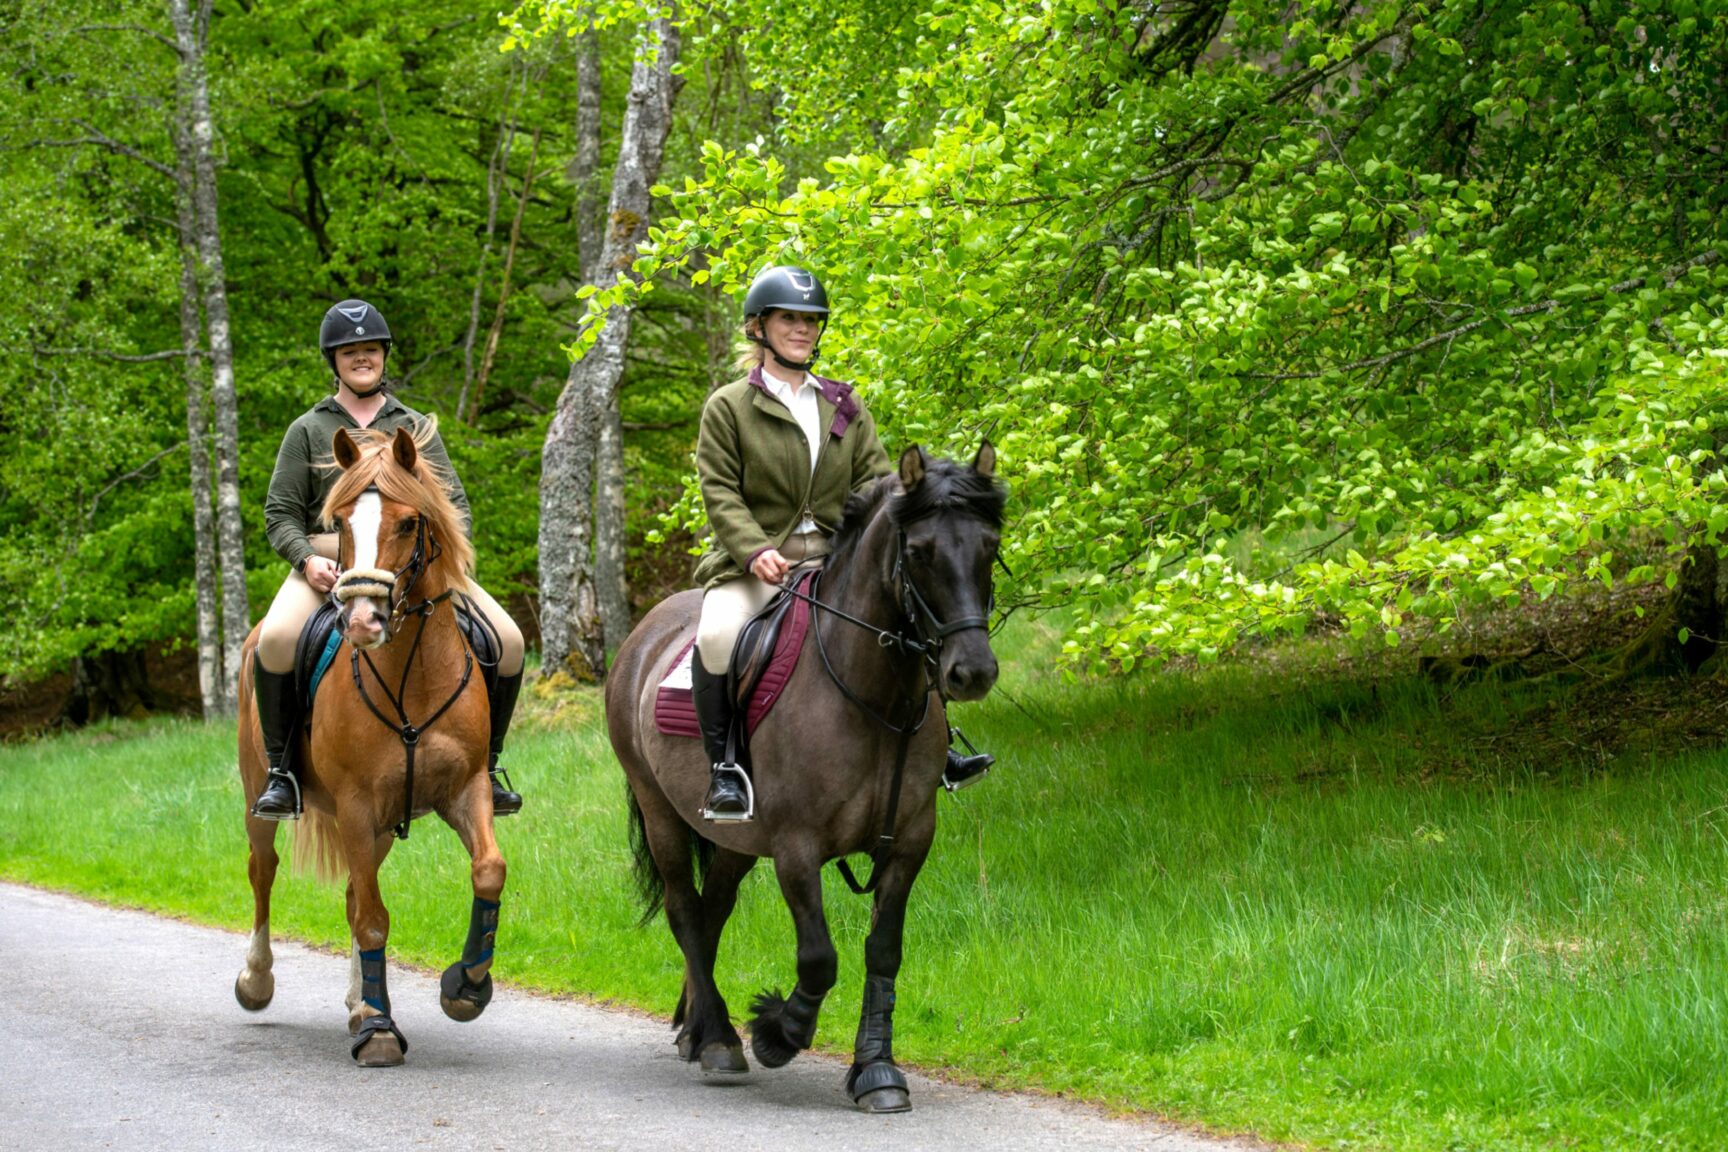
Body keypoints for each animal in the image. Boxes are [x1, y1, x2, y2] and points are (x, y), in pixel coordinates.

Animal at [234, 424, 505, 1067]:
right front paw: (380, 1031)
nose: (360, 620)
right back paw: (258, 980)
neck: (414, 676)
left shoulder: (467, 791)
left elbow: (487, 871)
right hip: (265, 800)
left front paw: (466, 986)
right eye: (338, 522)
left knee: (355, 894)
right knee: (264, 871)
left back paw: (361, 1000)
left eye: (408, 523)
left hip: (380, 828)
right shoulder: (356, 807)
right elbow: (375, 921)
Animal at [606, 442, 1004, 1112]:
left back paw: (698, 1029)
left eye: (989, 545)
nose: (971, 671)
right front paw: (777, 1032)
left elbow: (883, 951)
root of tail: (644, 634)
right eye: (921, 551)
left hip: (735, 841)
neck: (873, 695)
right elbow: (819, 958)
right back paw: (720, 1040)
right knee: (685, 911)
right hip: (661, 811)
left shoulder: (909, 843)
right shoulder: (797, 846)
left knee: (712, 911)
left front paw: (877, 1071)